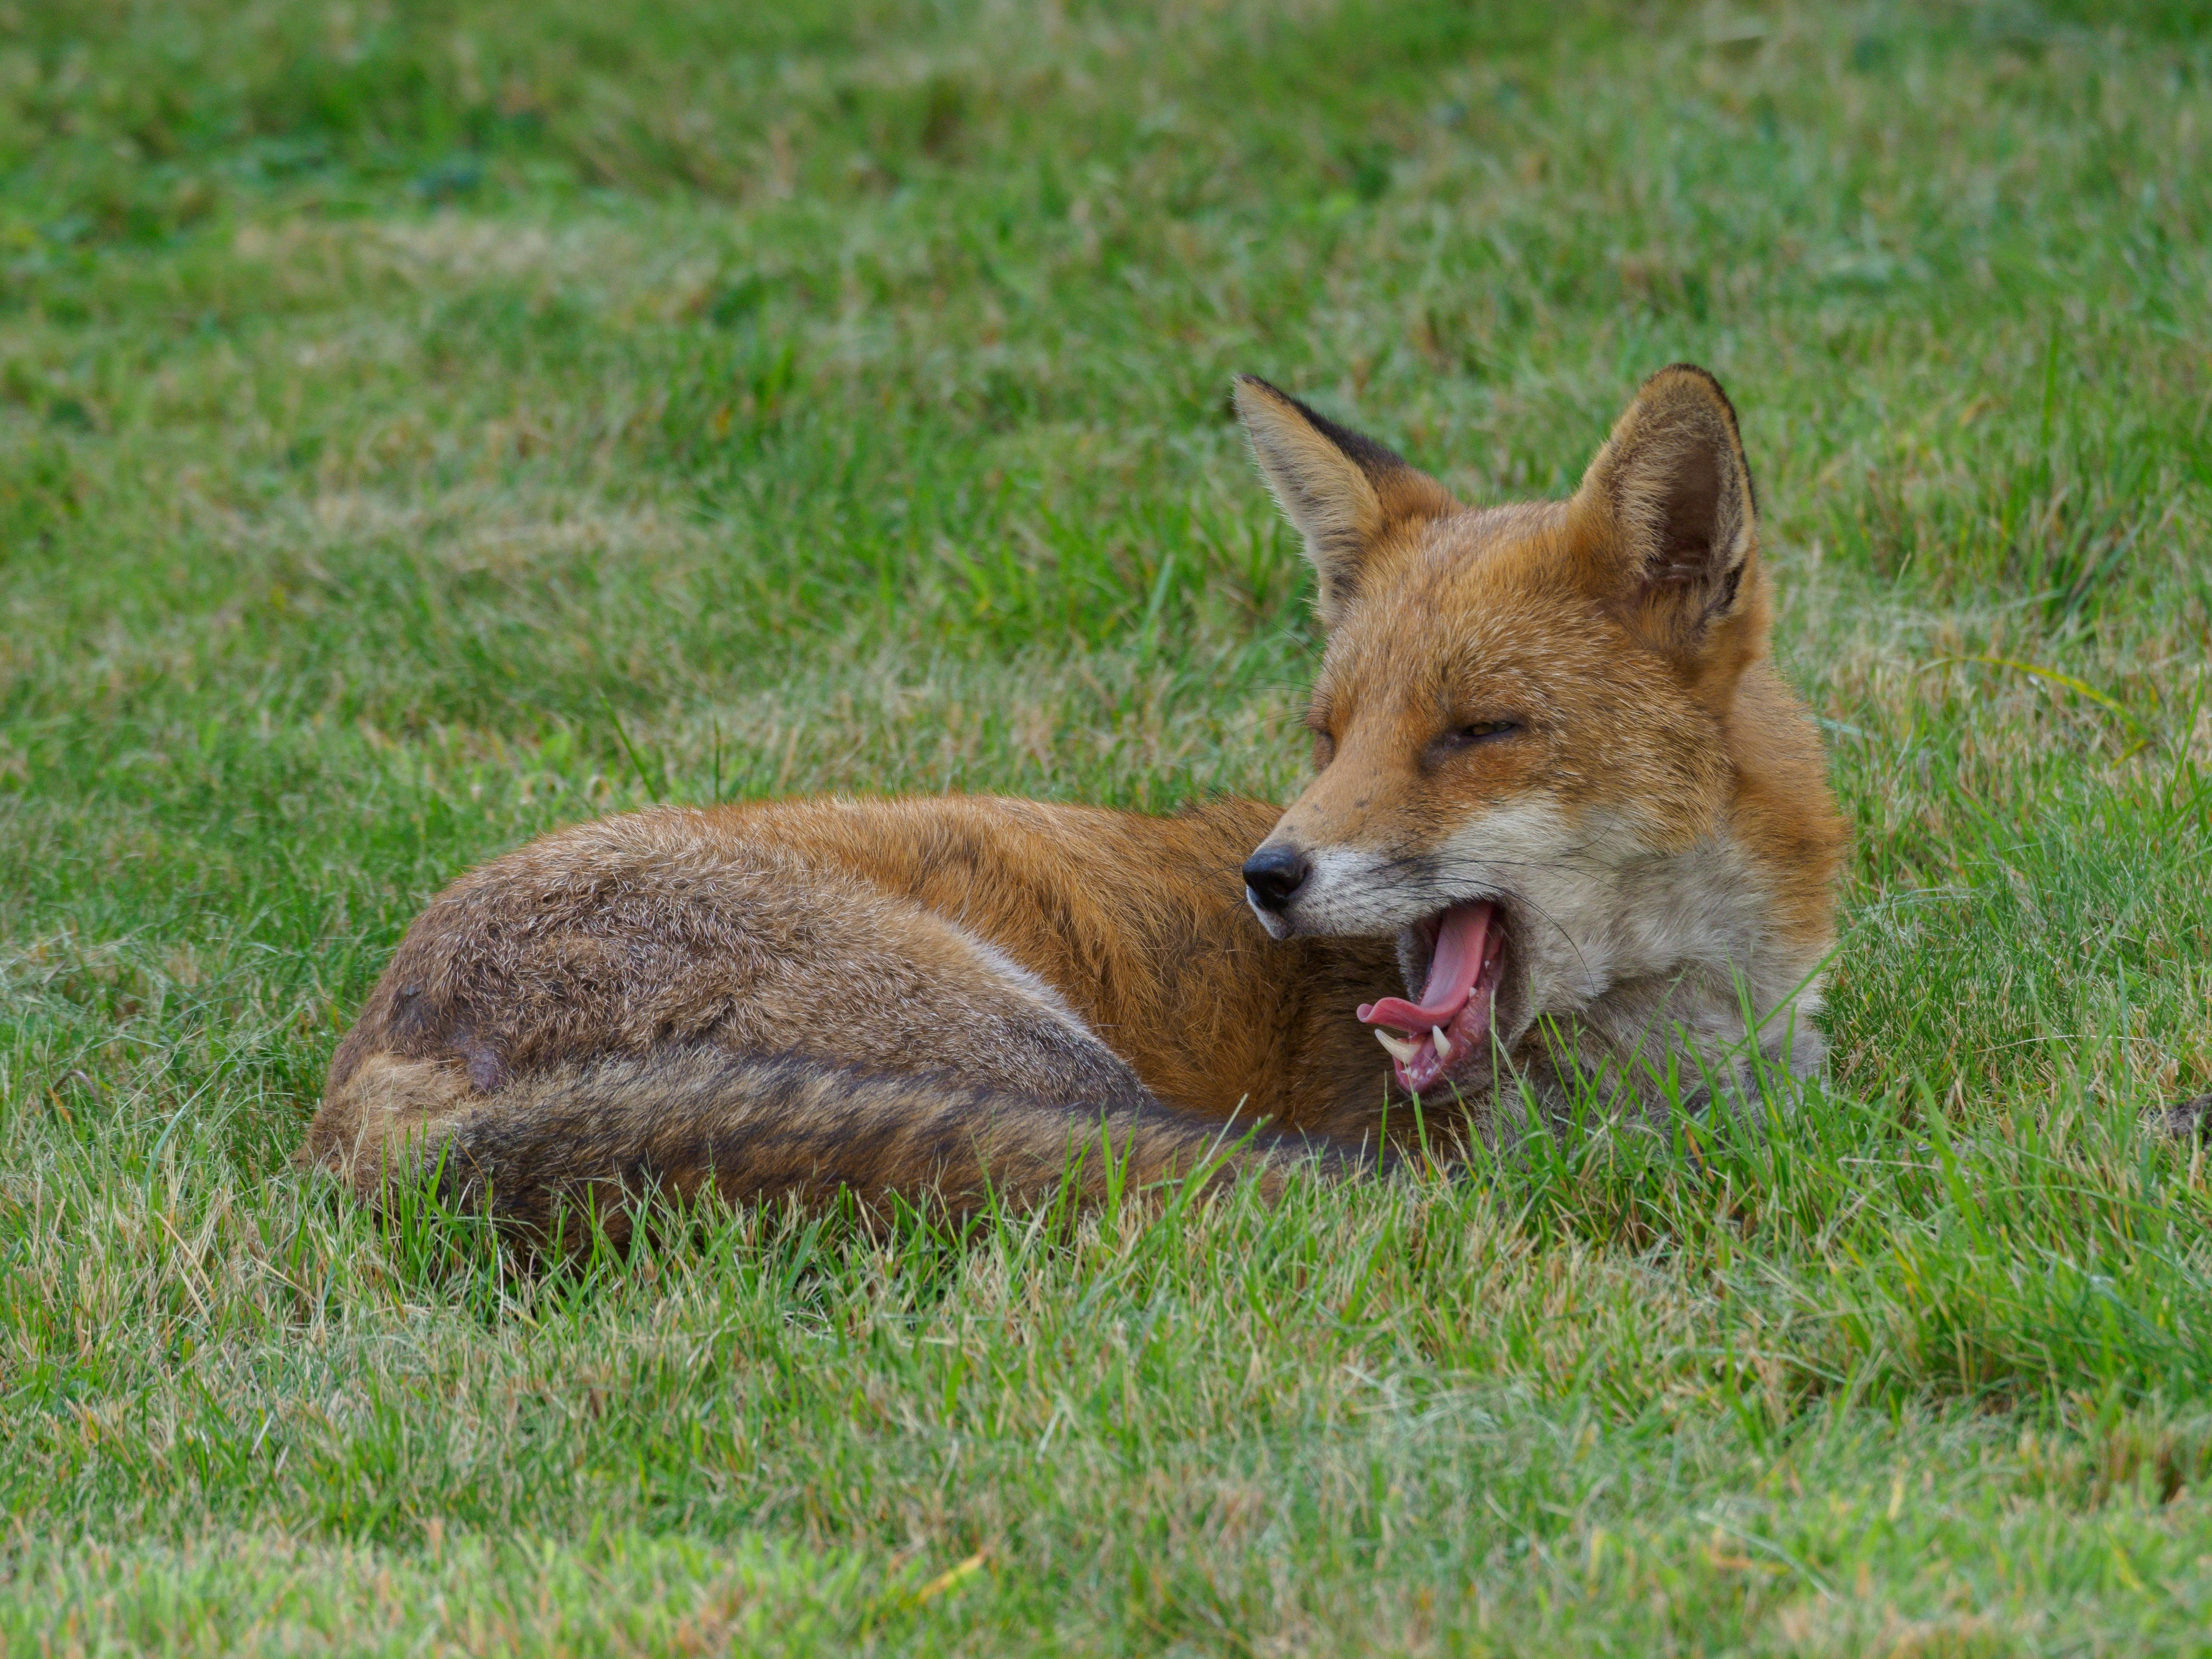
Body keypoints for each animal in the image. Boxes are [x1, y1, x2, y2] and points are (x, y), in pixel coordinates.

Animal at [303, 364, 1847, 1239]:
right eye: (1330, 733)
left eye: (1477, 733)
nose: (1269, 876)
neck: (1674, 1063)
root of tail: (374, 1077)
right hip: (1046, 1061)